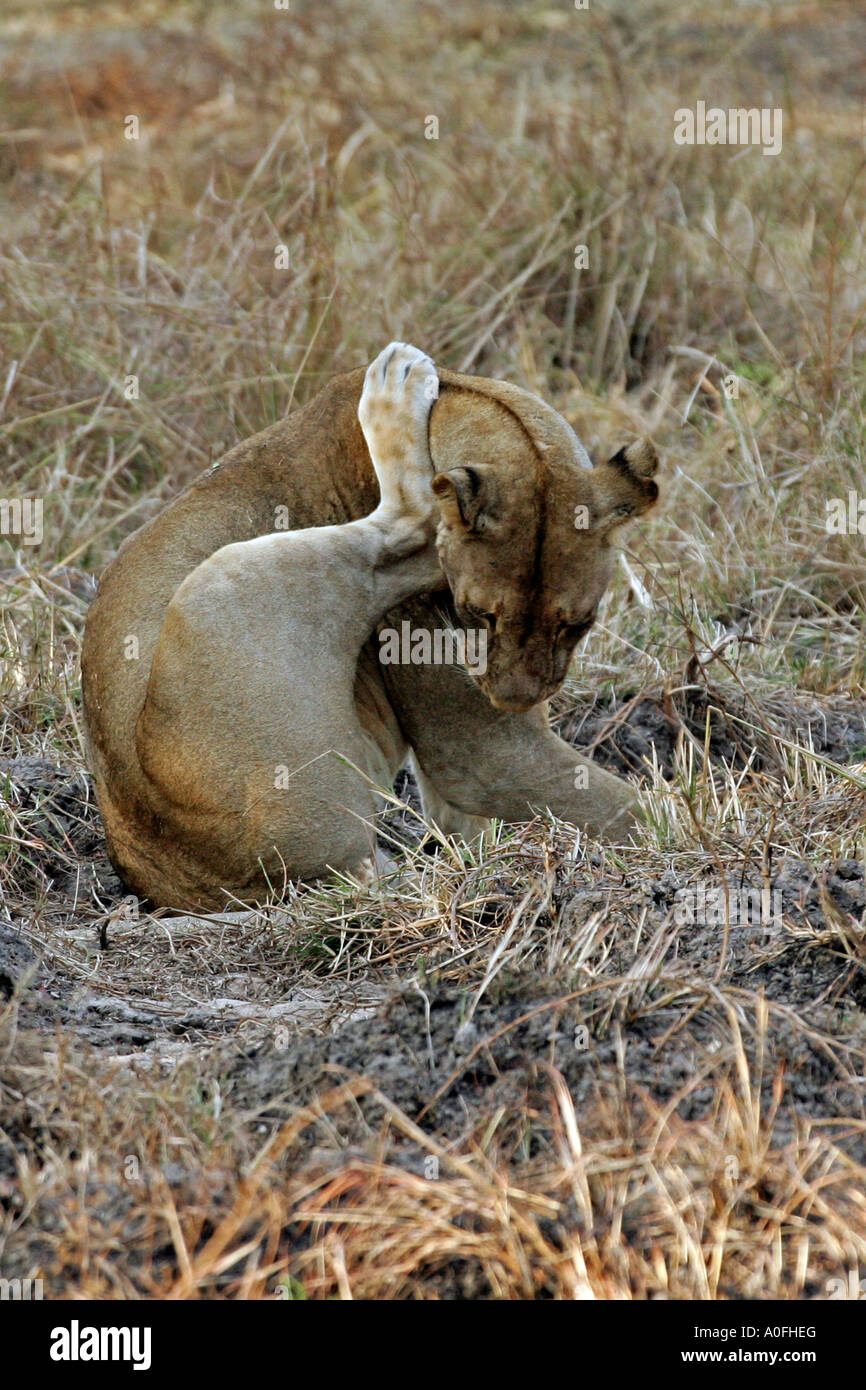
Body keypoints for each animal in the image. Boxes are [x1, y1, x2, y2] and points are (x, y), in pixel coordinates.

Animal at [81, 342, 659, 909]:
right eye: (479, 614)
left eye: (578, 623)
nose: (514, 701)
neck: (479, 403)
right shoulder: (476, 747)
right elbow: (623, 808)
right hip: (228, 587)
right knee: (412, 527)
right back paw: (395, 383)